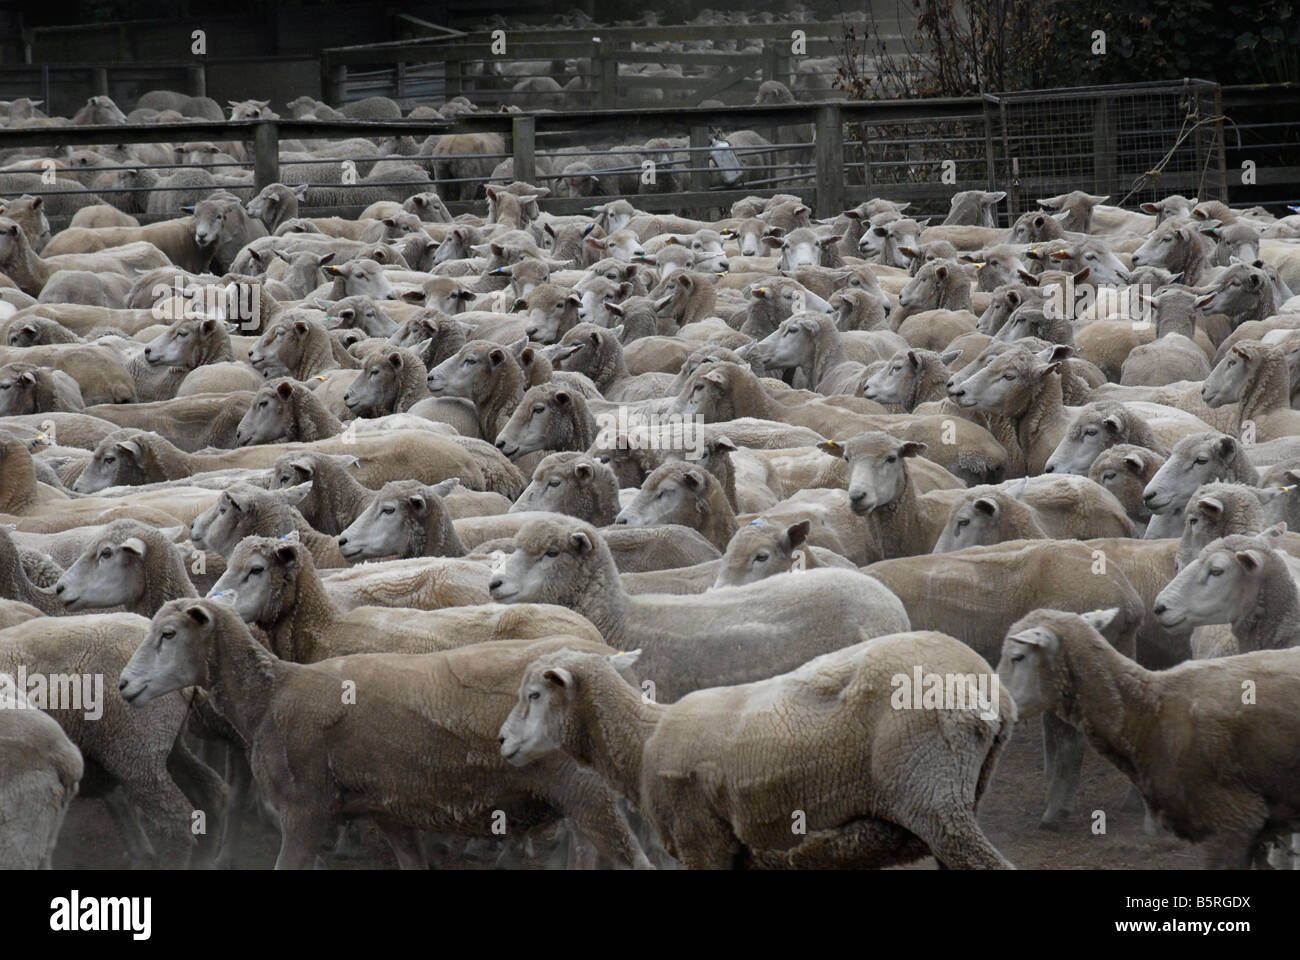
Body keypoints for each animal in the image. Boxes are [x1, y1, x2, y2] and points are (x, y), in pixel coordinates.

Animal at [499, 634, 1013, 869]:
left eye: (534, 695)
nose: (501, 741)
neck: (643, 741)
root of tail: (986, 687)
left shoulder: (701, 841)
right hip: (953, 801)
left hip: (933, 796)